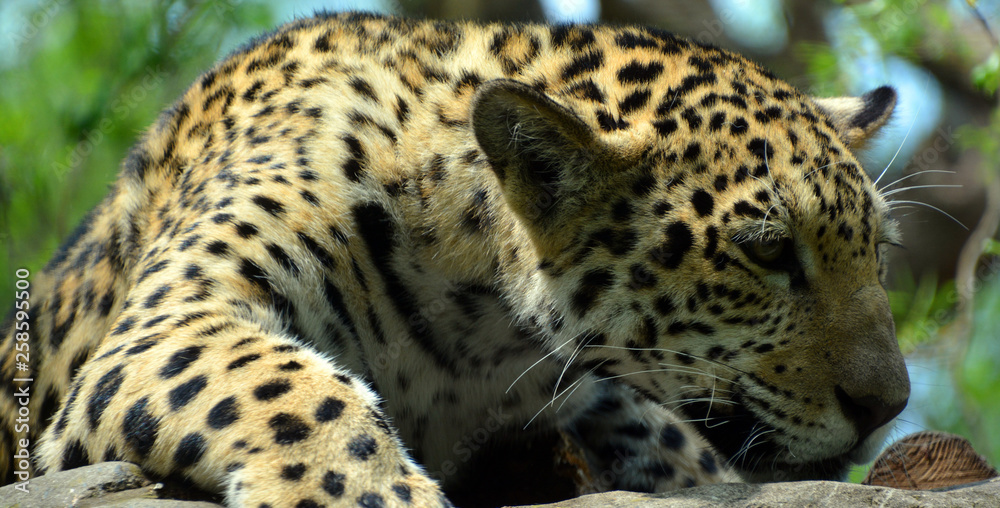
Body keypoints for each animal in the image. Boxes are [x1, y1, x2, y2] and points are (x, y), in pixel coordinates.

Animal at [1, 11, 911, 507]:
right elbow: (291, 387)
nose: (889, 407)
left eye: (877, 256)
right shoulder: (175, 319)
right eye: (768, 253)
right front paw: (368, 494)